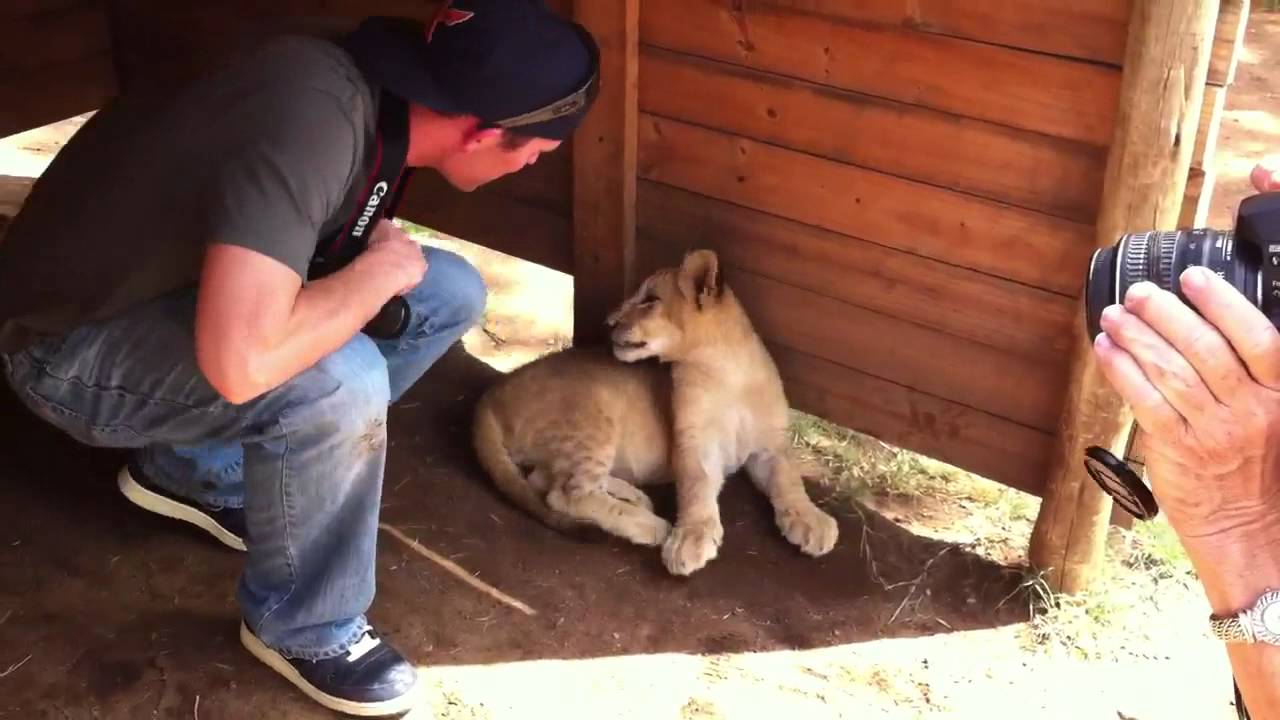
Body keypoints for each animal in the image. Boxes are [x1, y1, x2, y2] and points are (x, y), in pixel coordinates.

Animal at [471, 249, 839, 576]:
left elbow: (789, 480)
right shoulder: (693, 442)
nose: (608, 322)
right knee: (564, 494)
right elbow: (696, 487)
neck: (726, 372)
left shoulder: (770, 445)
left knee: (543, 480)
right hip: (594, 417)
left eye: (650, 299)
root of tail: (491, 394)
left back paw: (635, 497)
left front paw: (811, 522)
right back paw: (651, 525)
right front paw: (690, 540)